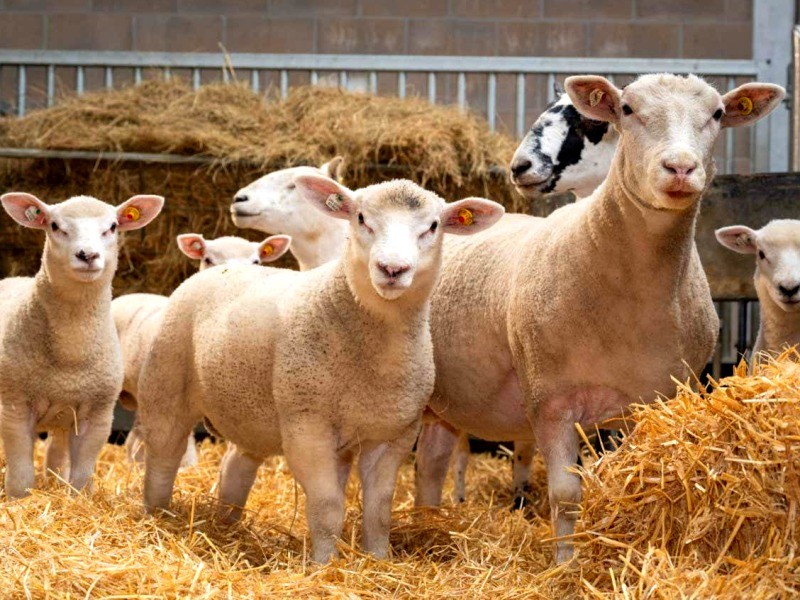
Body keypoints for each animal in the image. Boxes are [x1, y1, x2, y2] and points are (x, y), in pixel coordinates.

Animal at [0, 192, 163, 498]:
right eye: (54, 225)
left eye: (112, 226)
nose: (87, 255)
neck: (71, 353)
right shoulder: (15, 405)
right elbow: (21, 473)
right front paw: (18, 499)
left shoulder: (98, 415)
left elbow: (82, 476)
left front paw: (77, 498)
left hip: (63, 416)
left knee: (56, 451)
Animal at [136, 176, 504, 562]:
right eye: (361, 218)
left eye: (432, 226)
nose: (392, 269)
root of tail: (220, 269)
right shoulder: (307, 427)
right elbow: (327, 507)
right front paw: (324, 564)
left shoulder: (393, 435)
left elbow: (379, 509)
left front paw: (378, 559)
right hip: (166, 383)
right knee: (162, 458)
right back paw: (158, 518)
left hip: (252, 412)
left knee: (236, 466)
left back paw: (227, 524)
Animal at [414, 74, 784, 563]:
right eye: (626, 110)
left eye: (718, 114)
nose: (680, 168)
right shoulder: (551, 400)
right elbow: (566, 495)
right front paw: (565, 564)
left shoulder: (650, 404)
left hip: (445, 403)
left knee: (430, 464)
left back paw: (428, 526)